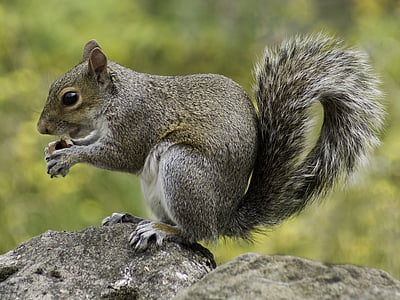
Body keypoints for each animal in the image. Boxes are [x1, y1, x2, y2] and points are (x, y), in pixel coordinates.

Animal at [37, 34, 384, 251]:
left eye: (70, 97)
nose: (41, 128)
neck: (117, 97)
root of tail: (223, 217)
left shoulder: (137, 123)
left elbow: (120, 156)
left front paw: (68, 157)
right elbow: (94, 140)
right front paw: (58, 148)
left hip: (183, 170)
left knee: (196, 234)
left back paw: (160, 230)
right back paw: (133, 218)